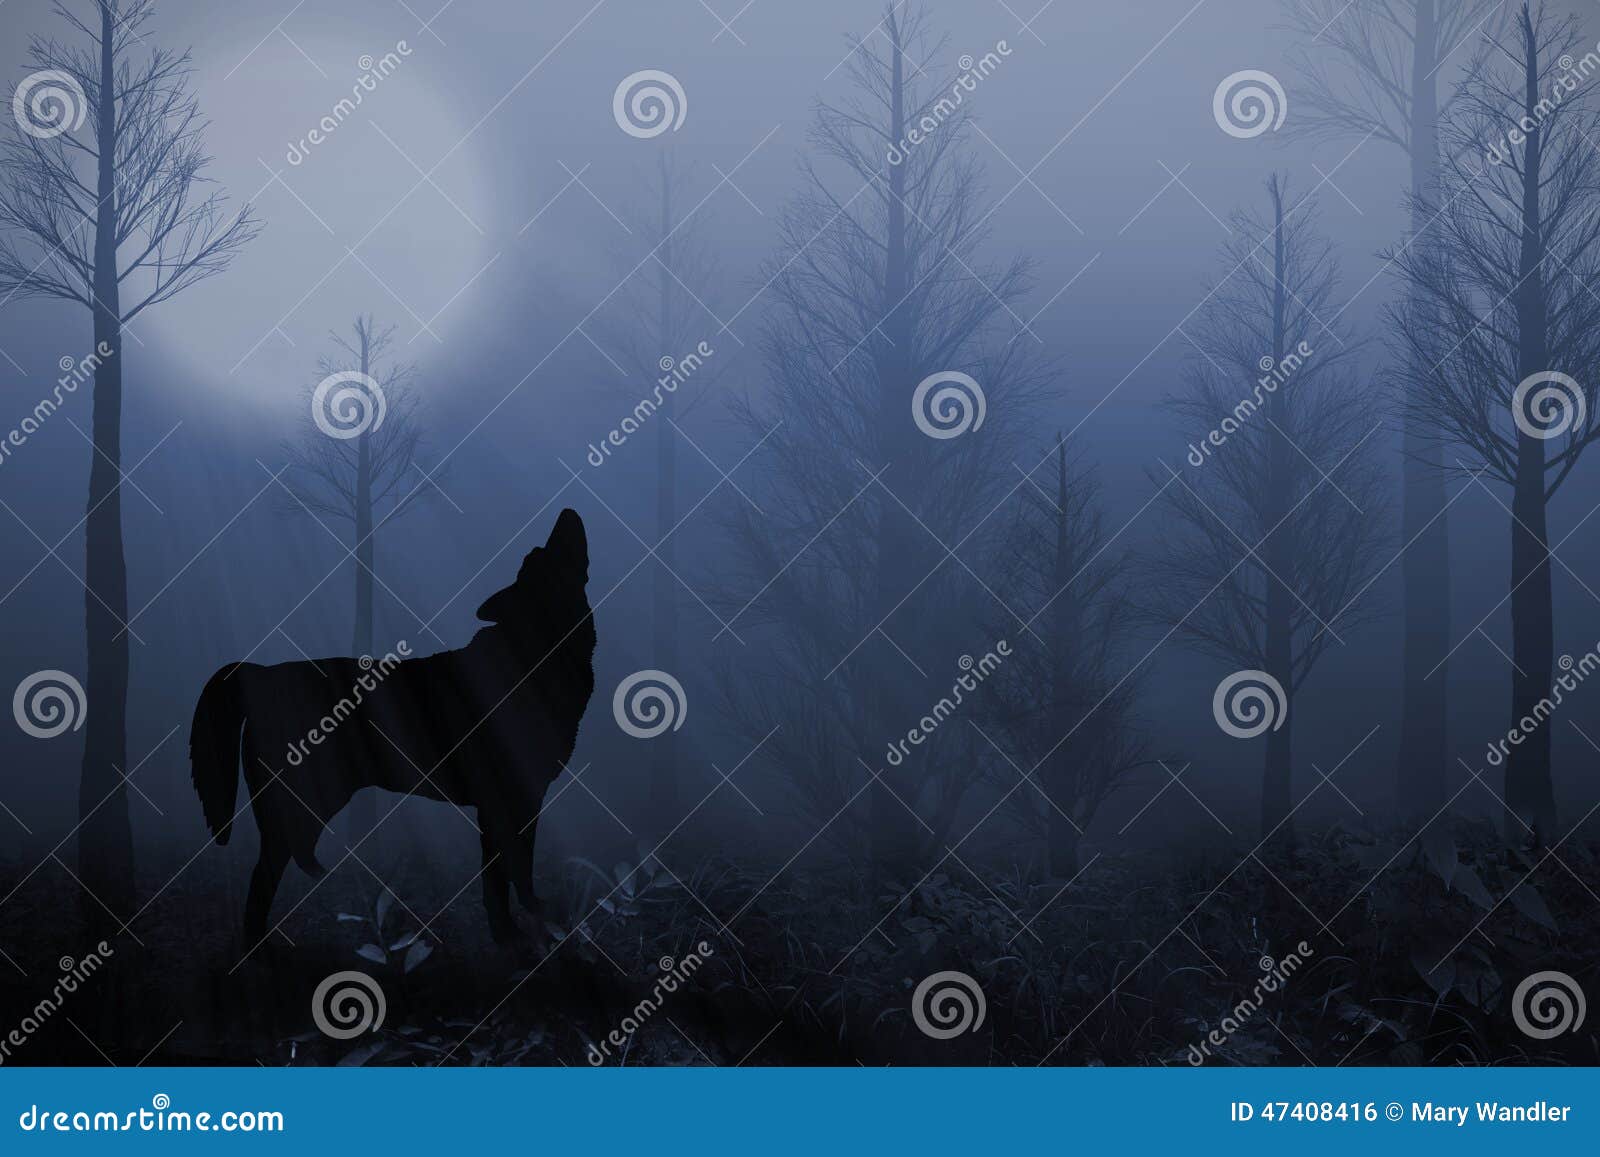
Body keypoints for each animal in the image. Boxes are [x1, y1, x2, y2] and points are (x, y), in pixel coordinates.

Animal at [189, 508, 596, 946]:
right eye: (535, 558)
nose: (568, 515)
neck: (533, 662)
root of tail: (261, 673)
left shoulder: (528, 796)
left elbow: (522, 866)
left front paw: (535, 912)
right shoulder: (498, 802)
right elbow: (498, 877)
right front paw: (508, 935)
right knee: (263, 878)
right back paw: (258, 945)